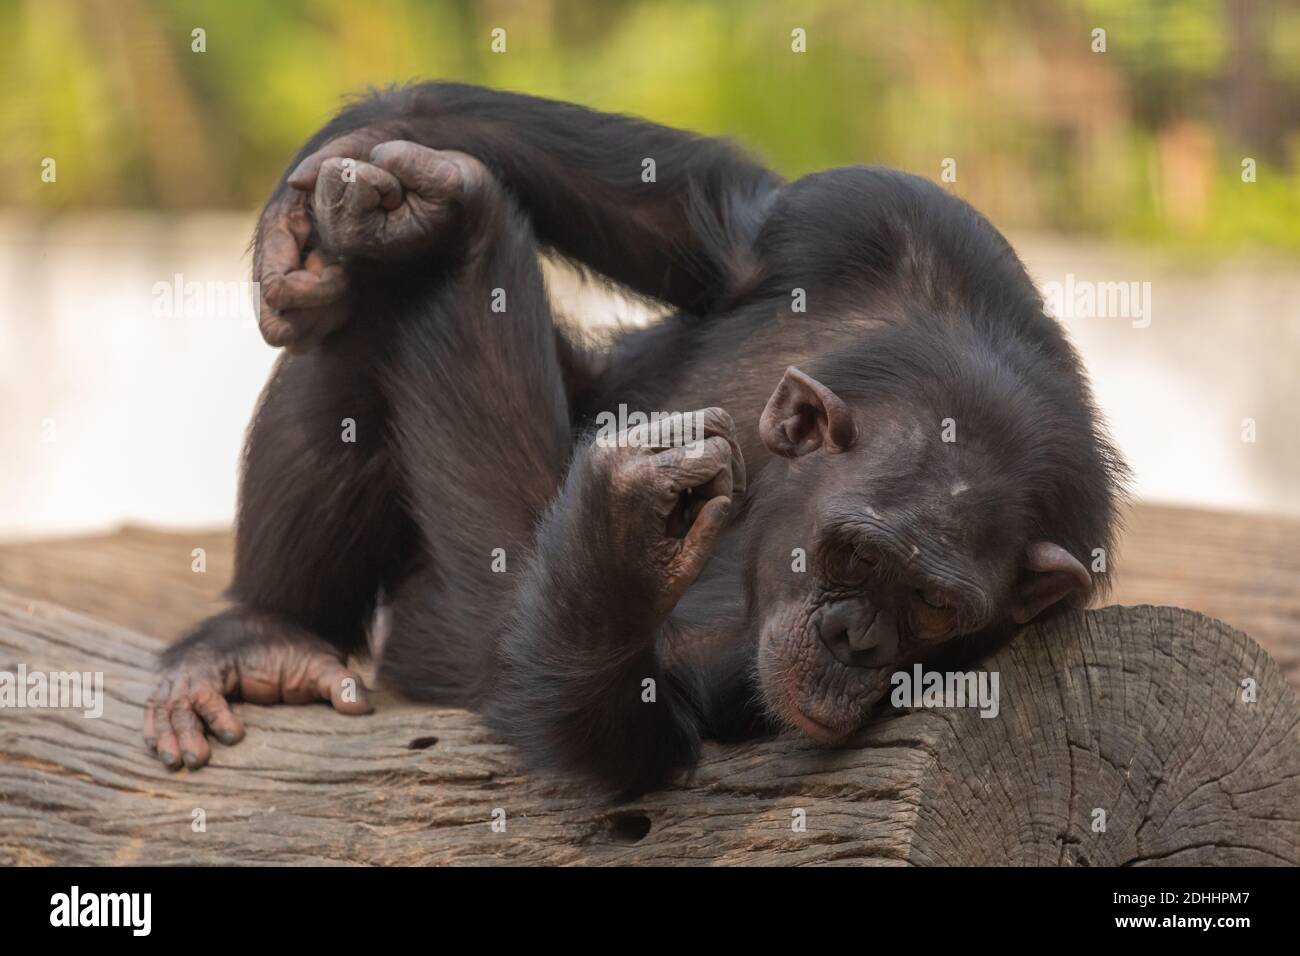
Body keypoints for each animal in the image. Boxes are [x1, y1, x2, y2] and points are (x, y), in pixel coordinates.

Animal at [143, 83, 1127, 797]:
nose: (856, 639)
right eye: (852, 553)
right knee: (353, 325)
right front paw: (409, 177)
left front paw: (619, 539)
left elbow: (616, 722)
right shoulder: (881, 214)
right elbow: (691, 214)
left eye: (931, 604)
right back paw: (264, 634)